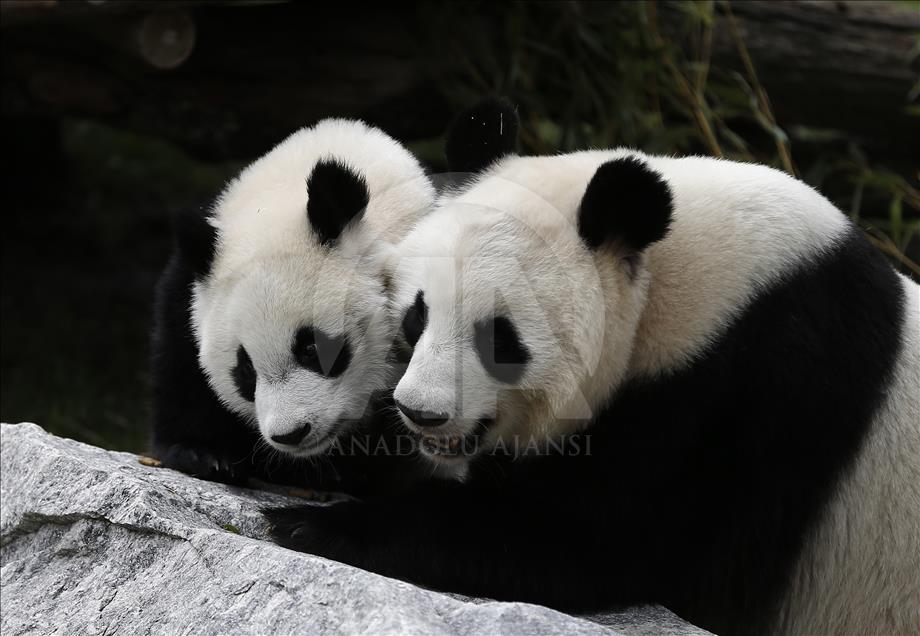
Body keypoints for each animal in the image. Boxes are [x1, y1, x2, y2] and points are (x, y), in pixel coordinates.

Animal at [151, 118, 436, 489]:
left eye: (312, 349)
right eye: (245, 370)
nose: (291, 434)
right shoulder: (188, 286)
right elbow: (180, 366)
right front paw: (204, 454)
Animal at [264, 100, 920, 635]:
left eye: (500, 339)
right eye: (416, 316)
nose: (420, 412)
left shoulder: (749, 390)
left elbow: (594, 541)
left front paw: (311, 525)